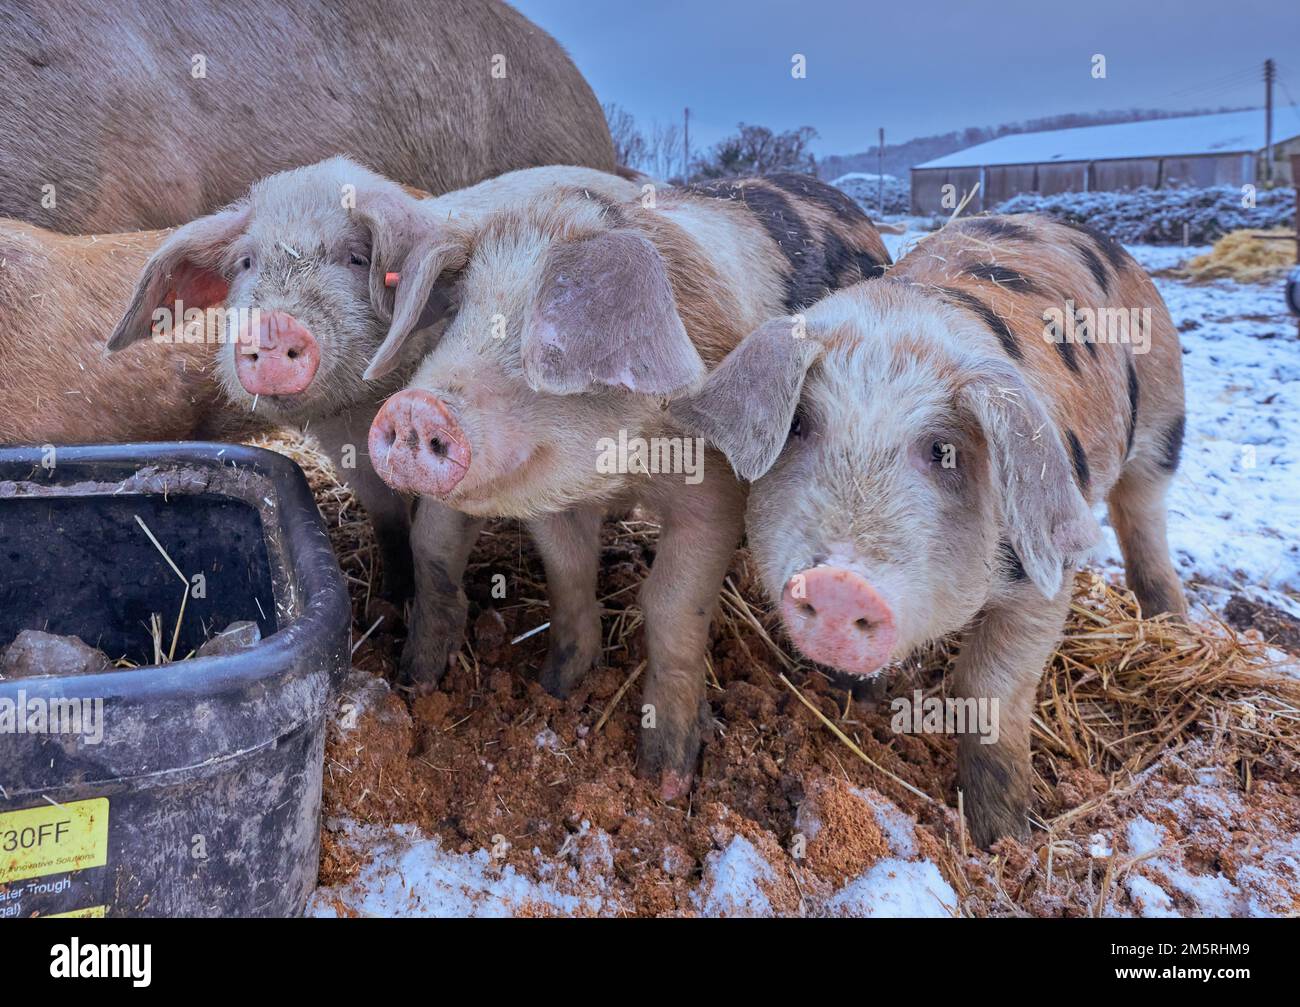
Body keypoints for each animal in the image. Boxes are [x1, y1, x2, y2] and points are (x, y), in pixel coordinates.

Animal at [104, 158, 644, 685]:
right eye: (246, 262)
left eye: (356, 258)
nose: (274, 325)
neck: (361, 410)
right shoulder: (350, 457)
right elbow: (387, 520)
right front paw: (390, 598)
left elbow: (432, 540)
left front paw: (416, 673)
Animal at [363, 173, 892, 797]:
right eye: (458, 314)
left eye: (553, 339)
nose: (415, 407)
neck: (627, 469)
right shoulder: (554, 500)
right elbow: (569, 576)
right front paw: (558, 688)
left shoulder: (715, 494)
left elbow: (671, 608)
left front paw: (667, 779)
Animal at [671, 214, 1187, 845]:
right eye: (798, 426)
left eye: (943, 451)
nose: (841, 583)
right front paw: (858, 700)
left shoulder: (1044, 573)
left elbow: (990, 687)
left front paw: (1004, 838)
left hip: (1164, 417)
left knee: (1144, 515)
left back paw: (1173, 624)